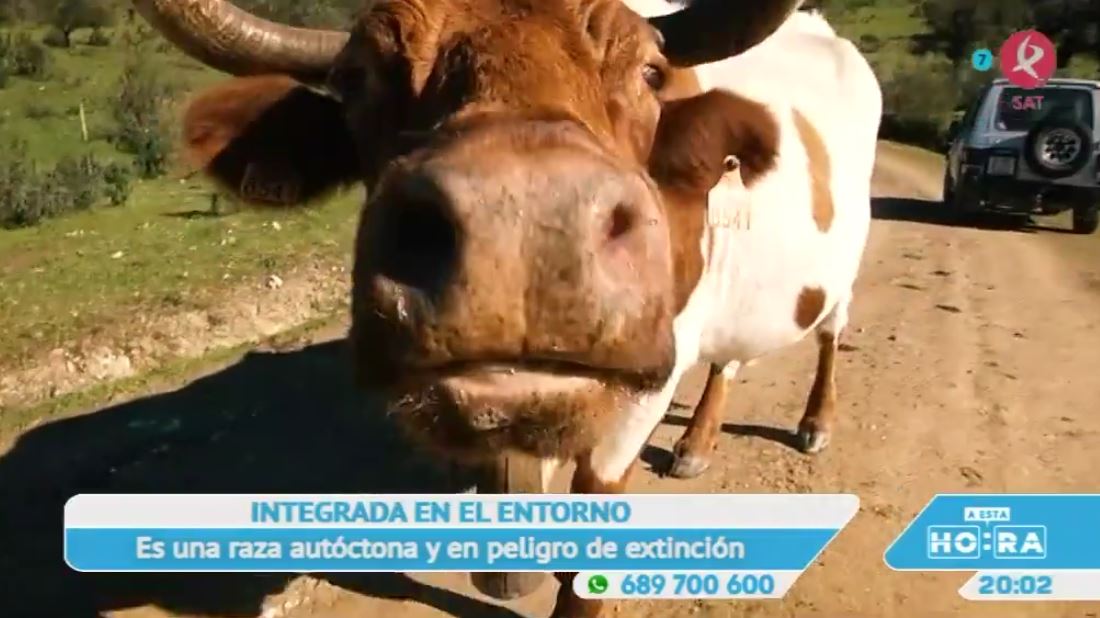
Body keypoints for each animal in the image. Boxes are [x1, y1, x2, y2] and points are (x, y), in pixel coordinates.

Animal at [134, 0, 881, 615]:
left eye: (650, 72)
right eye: (358, 78)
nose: (524, 224)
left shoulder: (641, 391)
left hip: (843, 264)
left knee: (830, 333)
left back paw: (815, 422)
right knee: (730, 359)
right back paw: (697, 441)